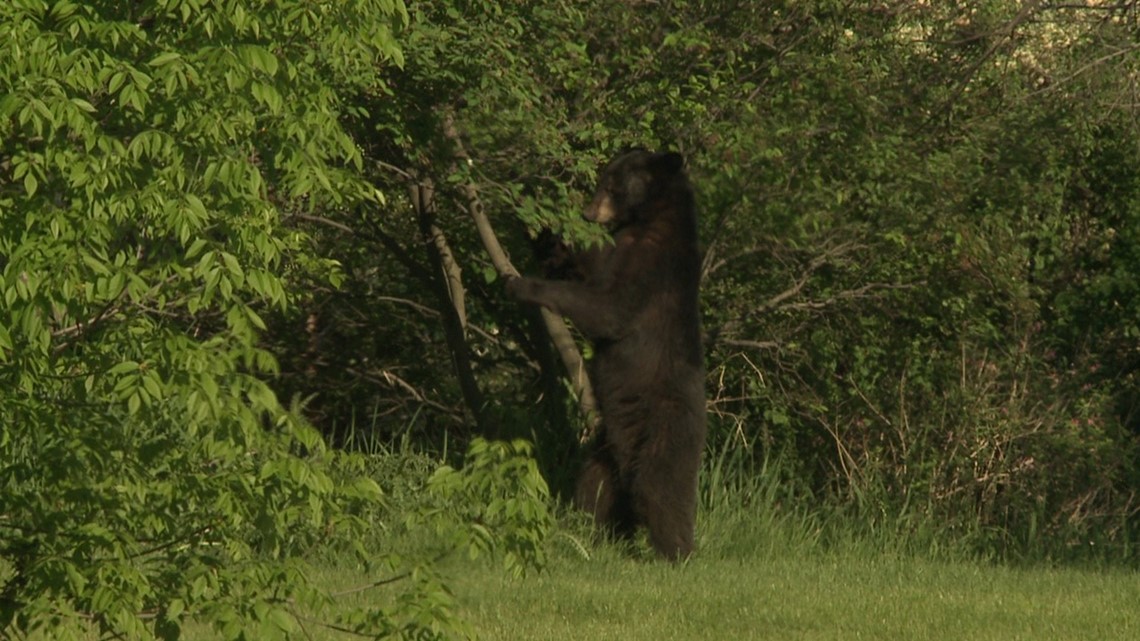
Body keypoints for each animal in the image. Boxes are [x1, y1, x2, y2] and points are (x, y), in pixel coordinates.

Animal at [507, 149, 706, 560]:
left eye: (612, 186)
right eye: (602, 180)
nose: (587, 212)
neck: (649, 220)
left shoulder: (651, 267)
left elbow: (606, 308)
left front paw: (520, 283)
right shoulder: (617, 248)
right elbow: (580, 268)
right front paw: (540, 231)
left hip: (665, 428)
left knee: (663, 488)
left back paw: (675, 551)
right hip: (607, 446)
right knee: (595, 484)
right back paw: (591, 531)